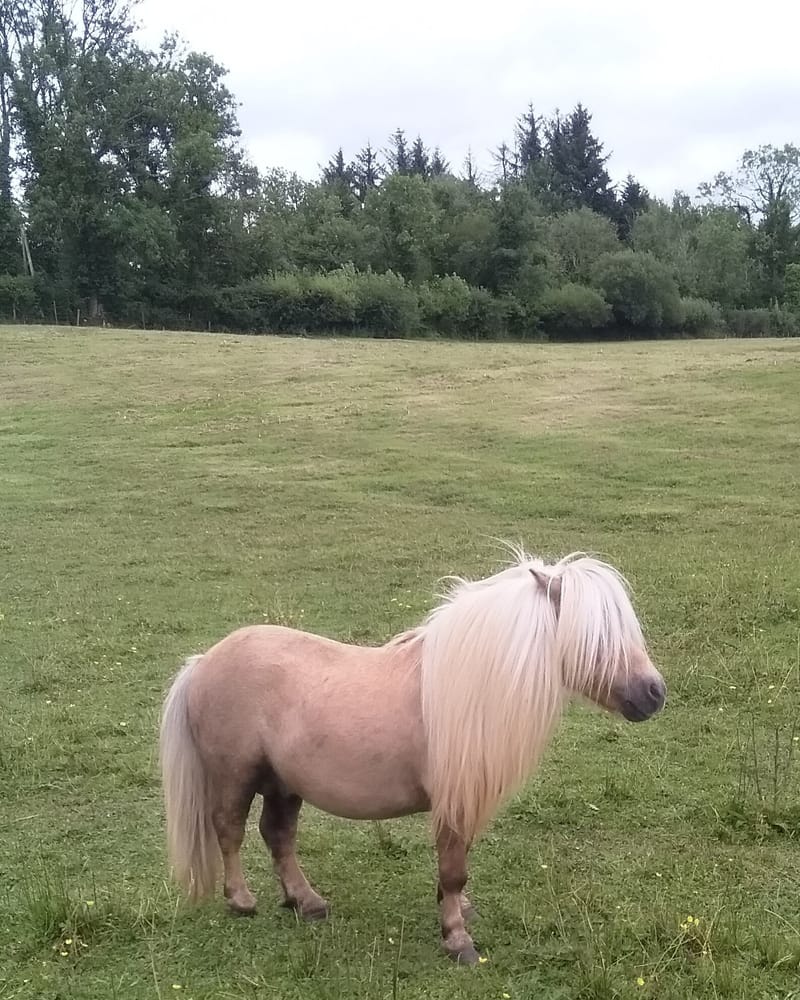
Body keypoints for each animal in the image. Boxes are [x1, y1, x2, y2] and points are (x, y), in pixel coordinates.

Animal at [159, 549, 666, 965]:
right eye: (597, 637)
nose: (654, 693)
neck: (467, 688)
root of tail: (203, 661)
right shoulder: (453, 801)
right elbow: (455, 870)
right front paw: (457, 940)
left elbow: (455, 869)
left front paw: (457, 913)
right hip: (235, 776)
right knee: (230, 831)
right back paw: (242, 901)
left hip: (284, 783)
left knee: (278, 836)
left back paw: (306, 902)